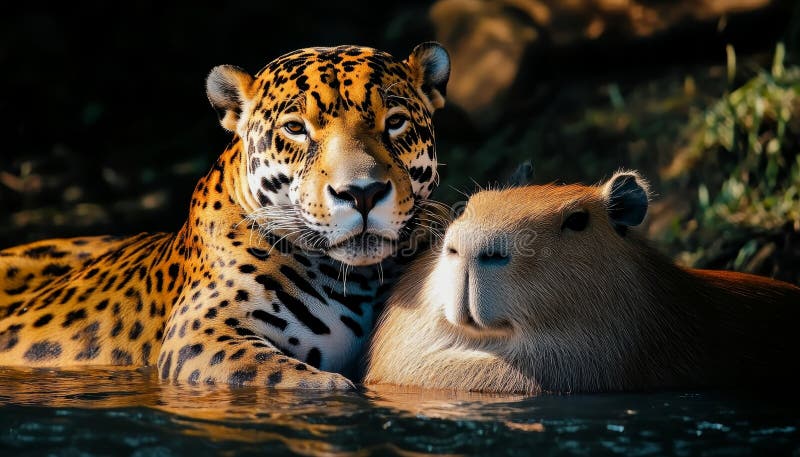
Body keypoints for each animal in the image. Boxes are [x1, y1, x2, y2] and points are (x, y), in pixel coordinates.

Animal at [0, 42, 450, 389]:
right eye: (295, 129)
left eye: (395, 122)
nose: (361, 193)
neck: (363, 278)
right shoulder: (201, 334)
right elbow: (295, 378)